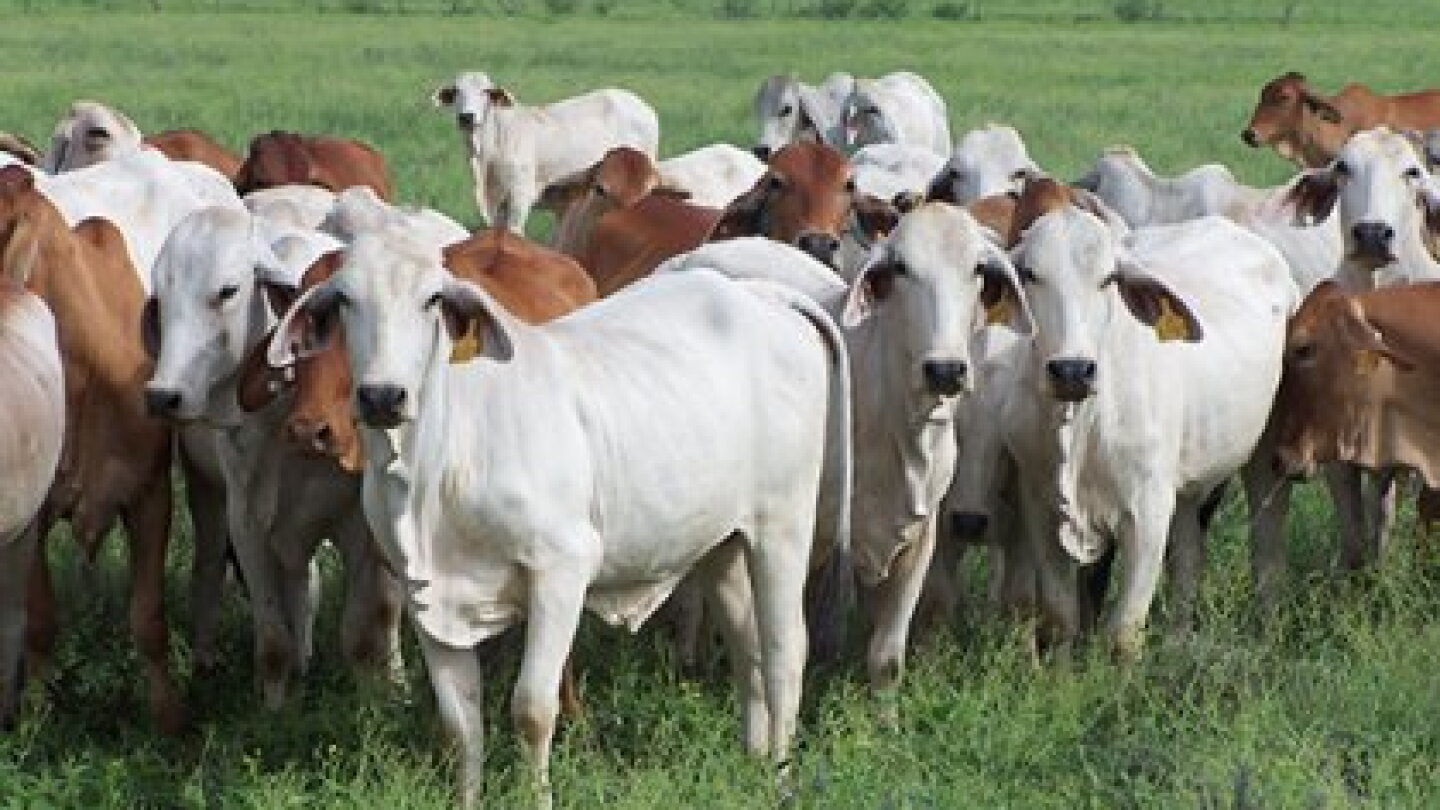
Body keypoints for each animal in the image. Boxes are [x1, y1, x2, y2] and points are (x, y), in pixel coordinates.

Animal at [0, 164, 186, 730]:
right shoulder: (32, 514)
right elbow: (40, 620)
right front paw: (34, 717)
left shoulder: (151, 495)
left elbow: (148, 617)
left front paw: (170, 720)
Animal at [268, 231, 851, 807]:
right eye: (344, 300)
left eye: (432, 299)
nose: (383, 396)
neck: (438, 463)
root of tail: (760, 295)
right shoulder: (427, 594)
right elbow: (461, 726)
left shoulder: (561, 570)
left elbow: (531, 709)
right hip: (722, 543)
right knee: (748, 646)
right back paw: (754, 762)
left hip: (782, 527)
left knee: (784, 650)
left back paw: (782, 781)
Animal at [999, 178, 1295, 658]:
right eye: (1029, 274)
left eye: (1108, 279)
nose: (1072, 370)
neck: (1081, 424)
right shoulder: (1040, 505)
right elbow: (1062, 621)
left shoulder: (1147, 511)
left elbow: (1122, 633)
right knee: (1188, 558)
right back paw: (1176, 642)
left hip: (1265, 455)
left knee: (1266, 549)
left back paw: (1267, 634)